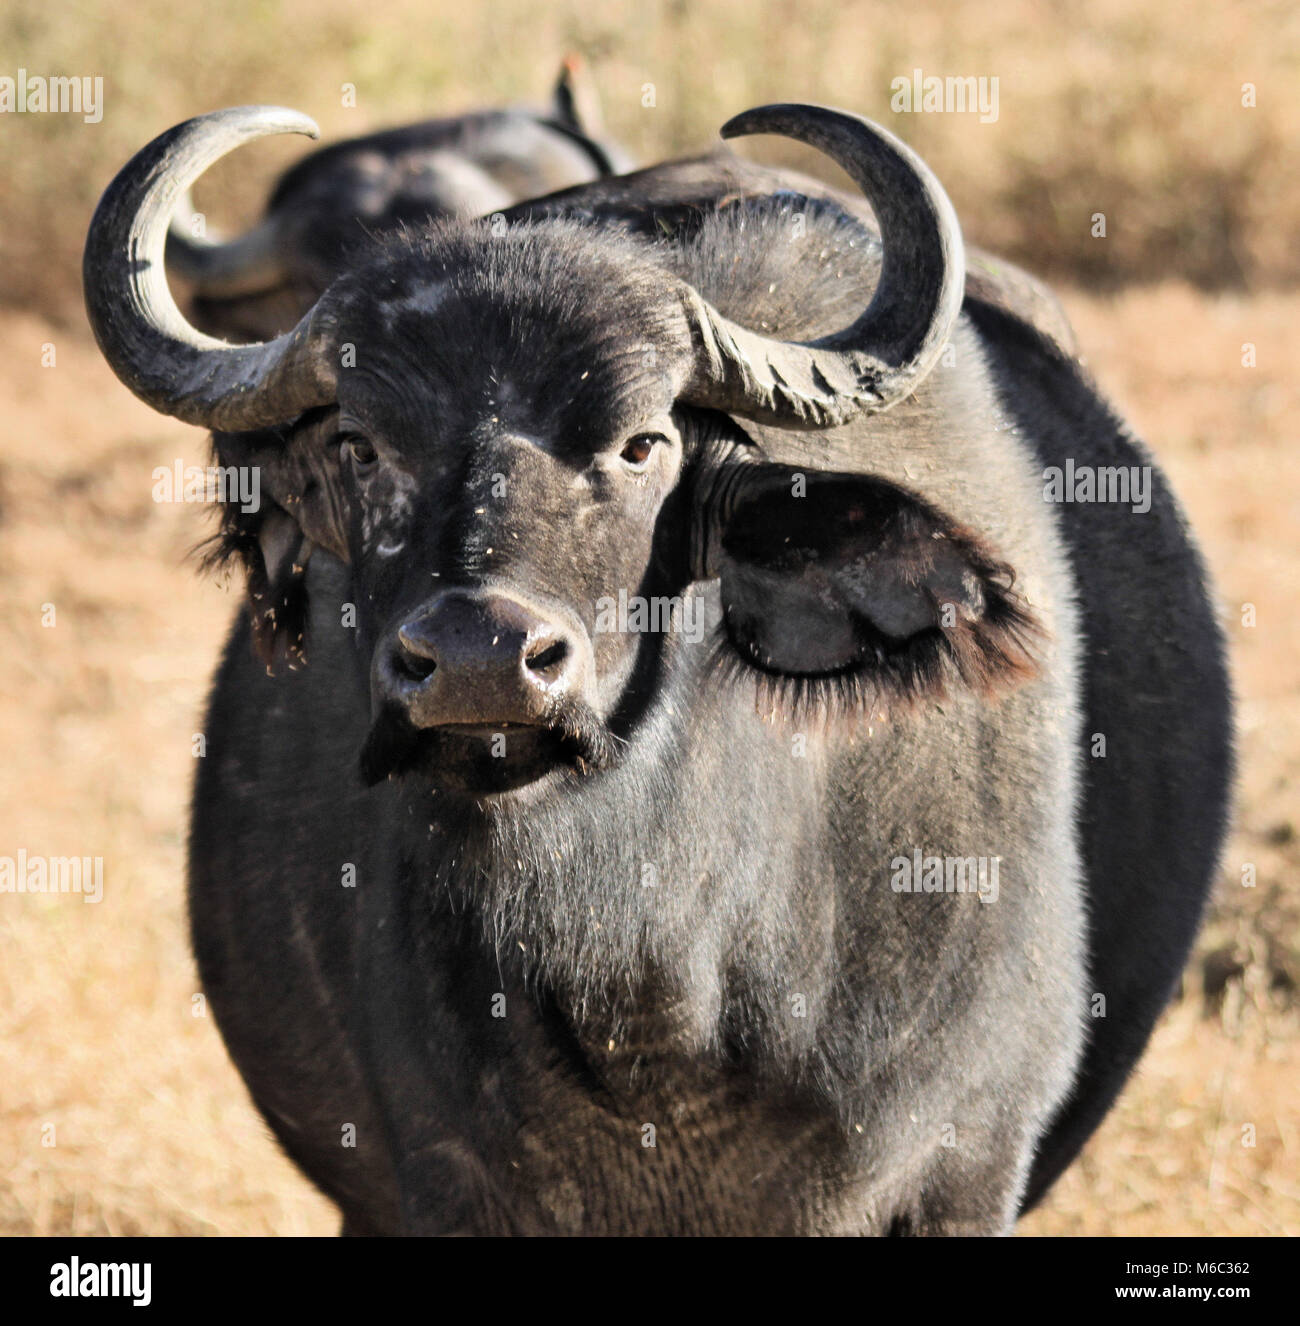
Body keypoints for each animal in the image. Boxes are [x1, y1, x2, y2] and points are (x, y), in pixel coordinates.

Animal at [84, 99, 1232, 1234]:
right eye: (362, 447)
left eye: (642, 444)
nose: (478, 661)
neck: (662, 976)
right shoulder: (443, 1178)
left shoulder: (965, 1169)